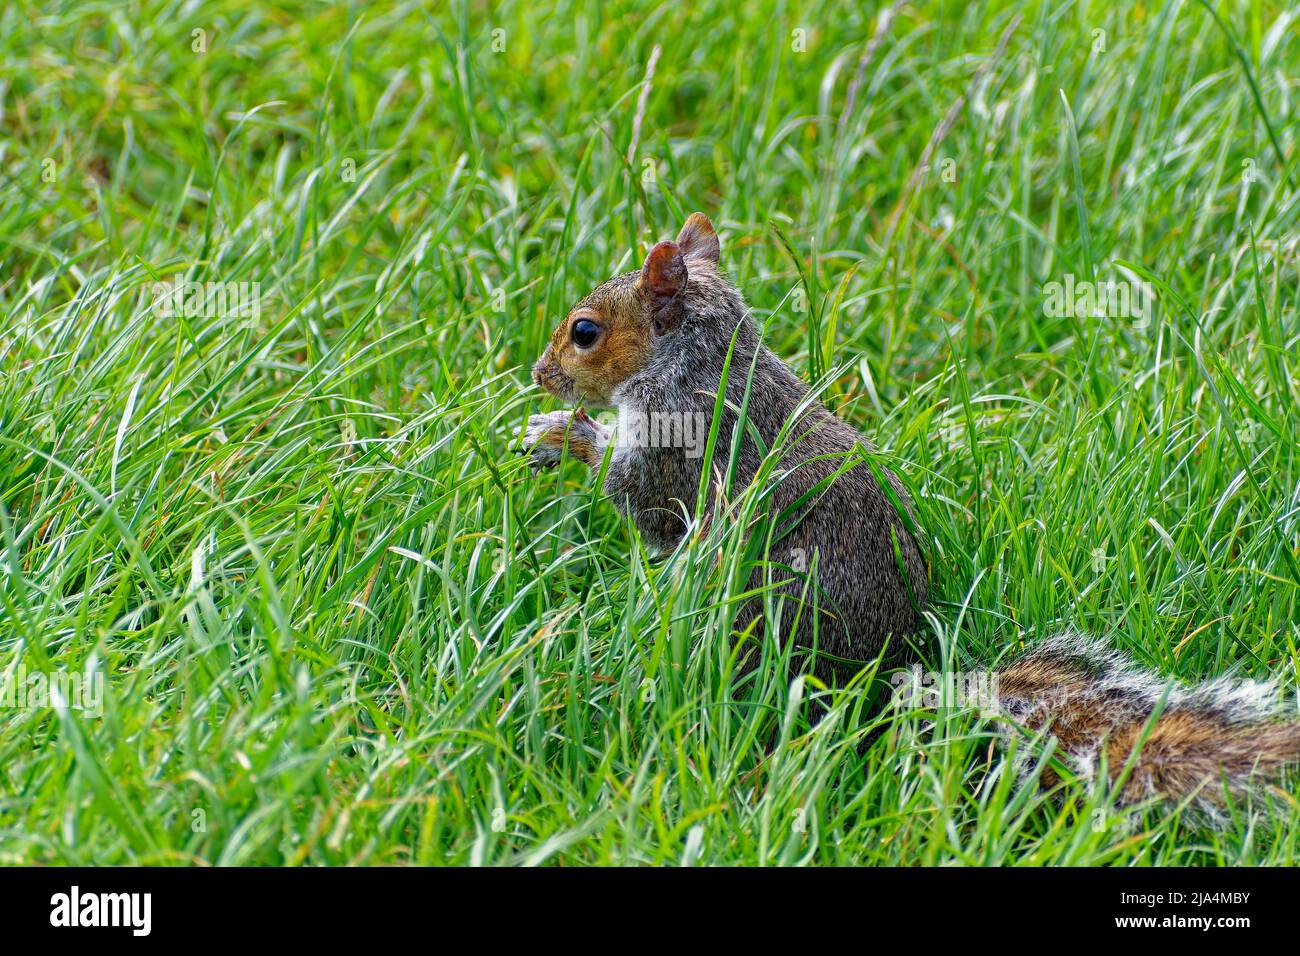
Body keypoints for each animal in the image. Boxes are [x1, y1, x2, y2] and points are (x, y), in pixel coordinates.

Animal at [524, 212, 1300, 815]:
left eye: (585, 332)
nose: (539, 374)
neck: (698, 360)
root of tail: (884, 673)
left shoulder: (674, 436)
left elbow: (642, 503)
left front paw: (566, 435)